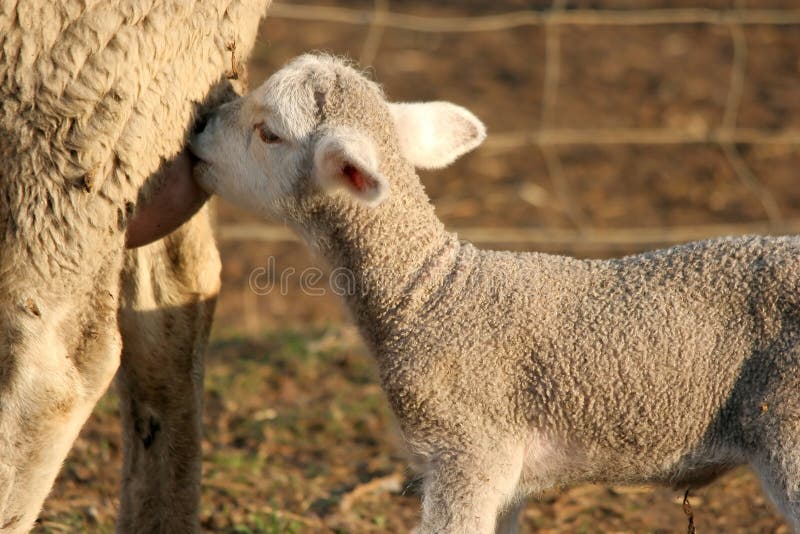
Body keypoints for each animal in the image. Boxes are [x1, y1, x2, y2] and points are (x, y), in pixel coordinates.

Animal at [192, 53, 800, 533]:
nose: (198, 129)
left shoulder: (467, 452)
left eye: (268, 132)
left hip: (789, 435)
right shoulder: (503, 476)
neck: (427, 297)